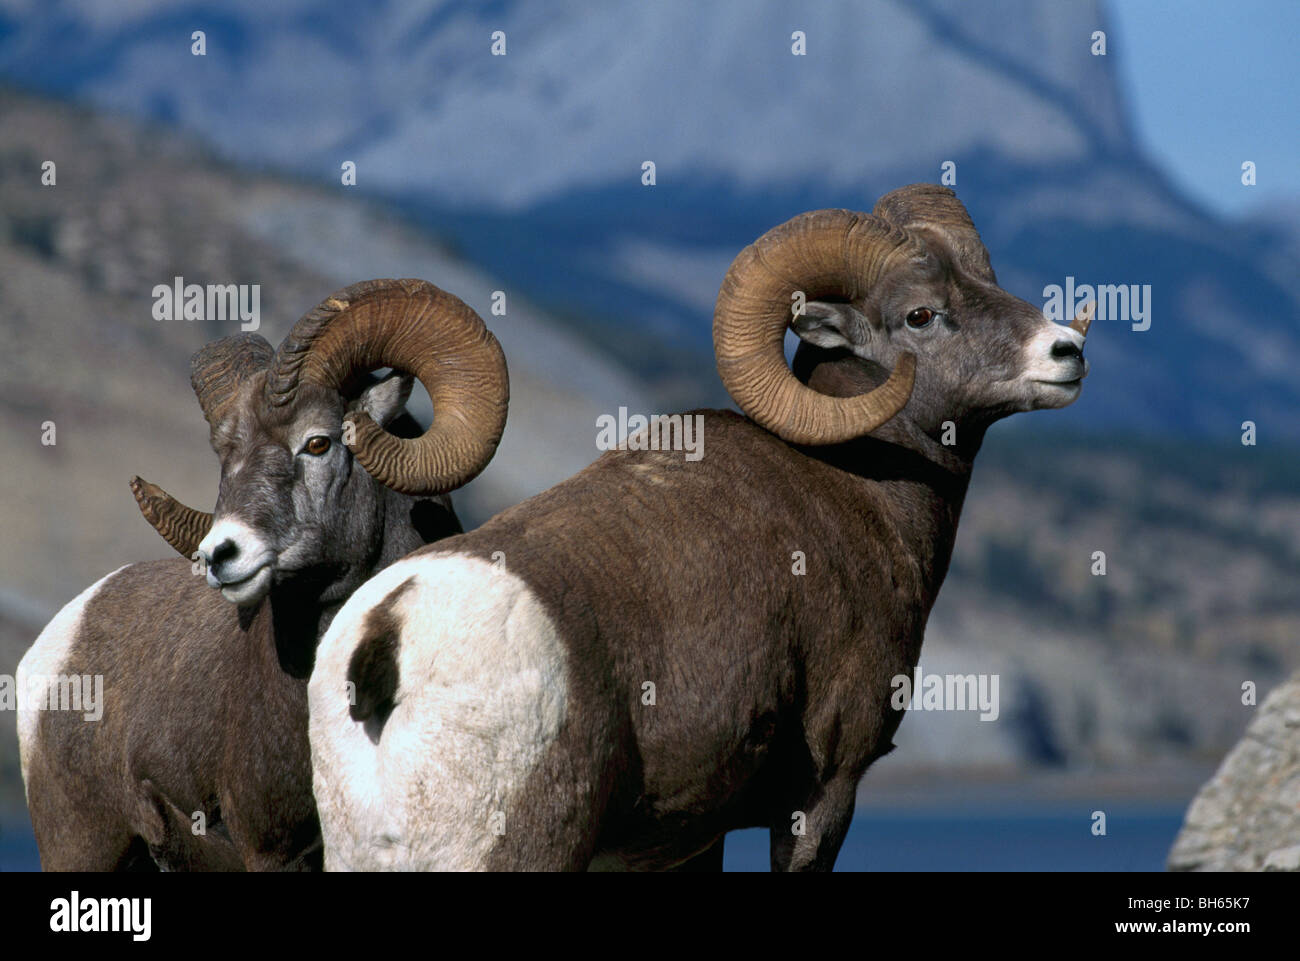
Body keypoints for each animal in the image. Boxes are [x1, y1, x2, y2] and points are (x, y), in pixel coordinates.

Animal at [16, 278, 508, 871]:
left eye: (318, 442)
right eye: (225, 456)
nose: (220, 555)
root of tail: (58, 642)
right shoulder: (274, 851)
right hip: (84, 848)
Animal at [306, 185, 1095, 872]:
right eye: (922, 315)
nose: (1066, 352)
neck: (860, 490)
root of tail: (389, 637)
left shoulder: (683, 840)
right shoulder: (824, 791)